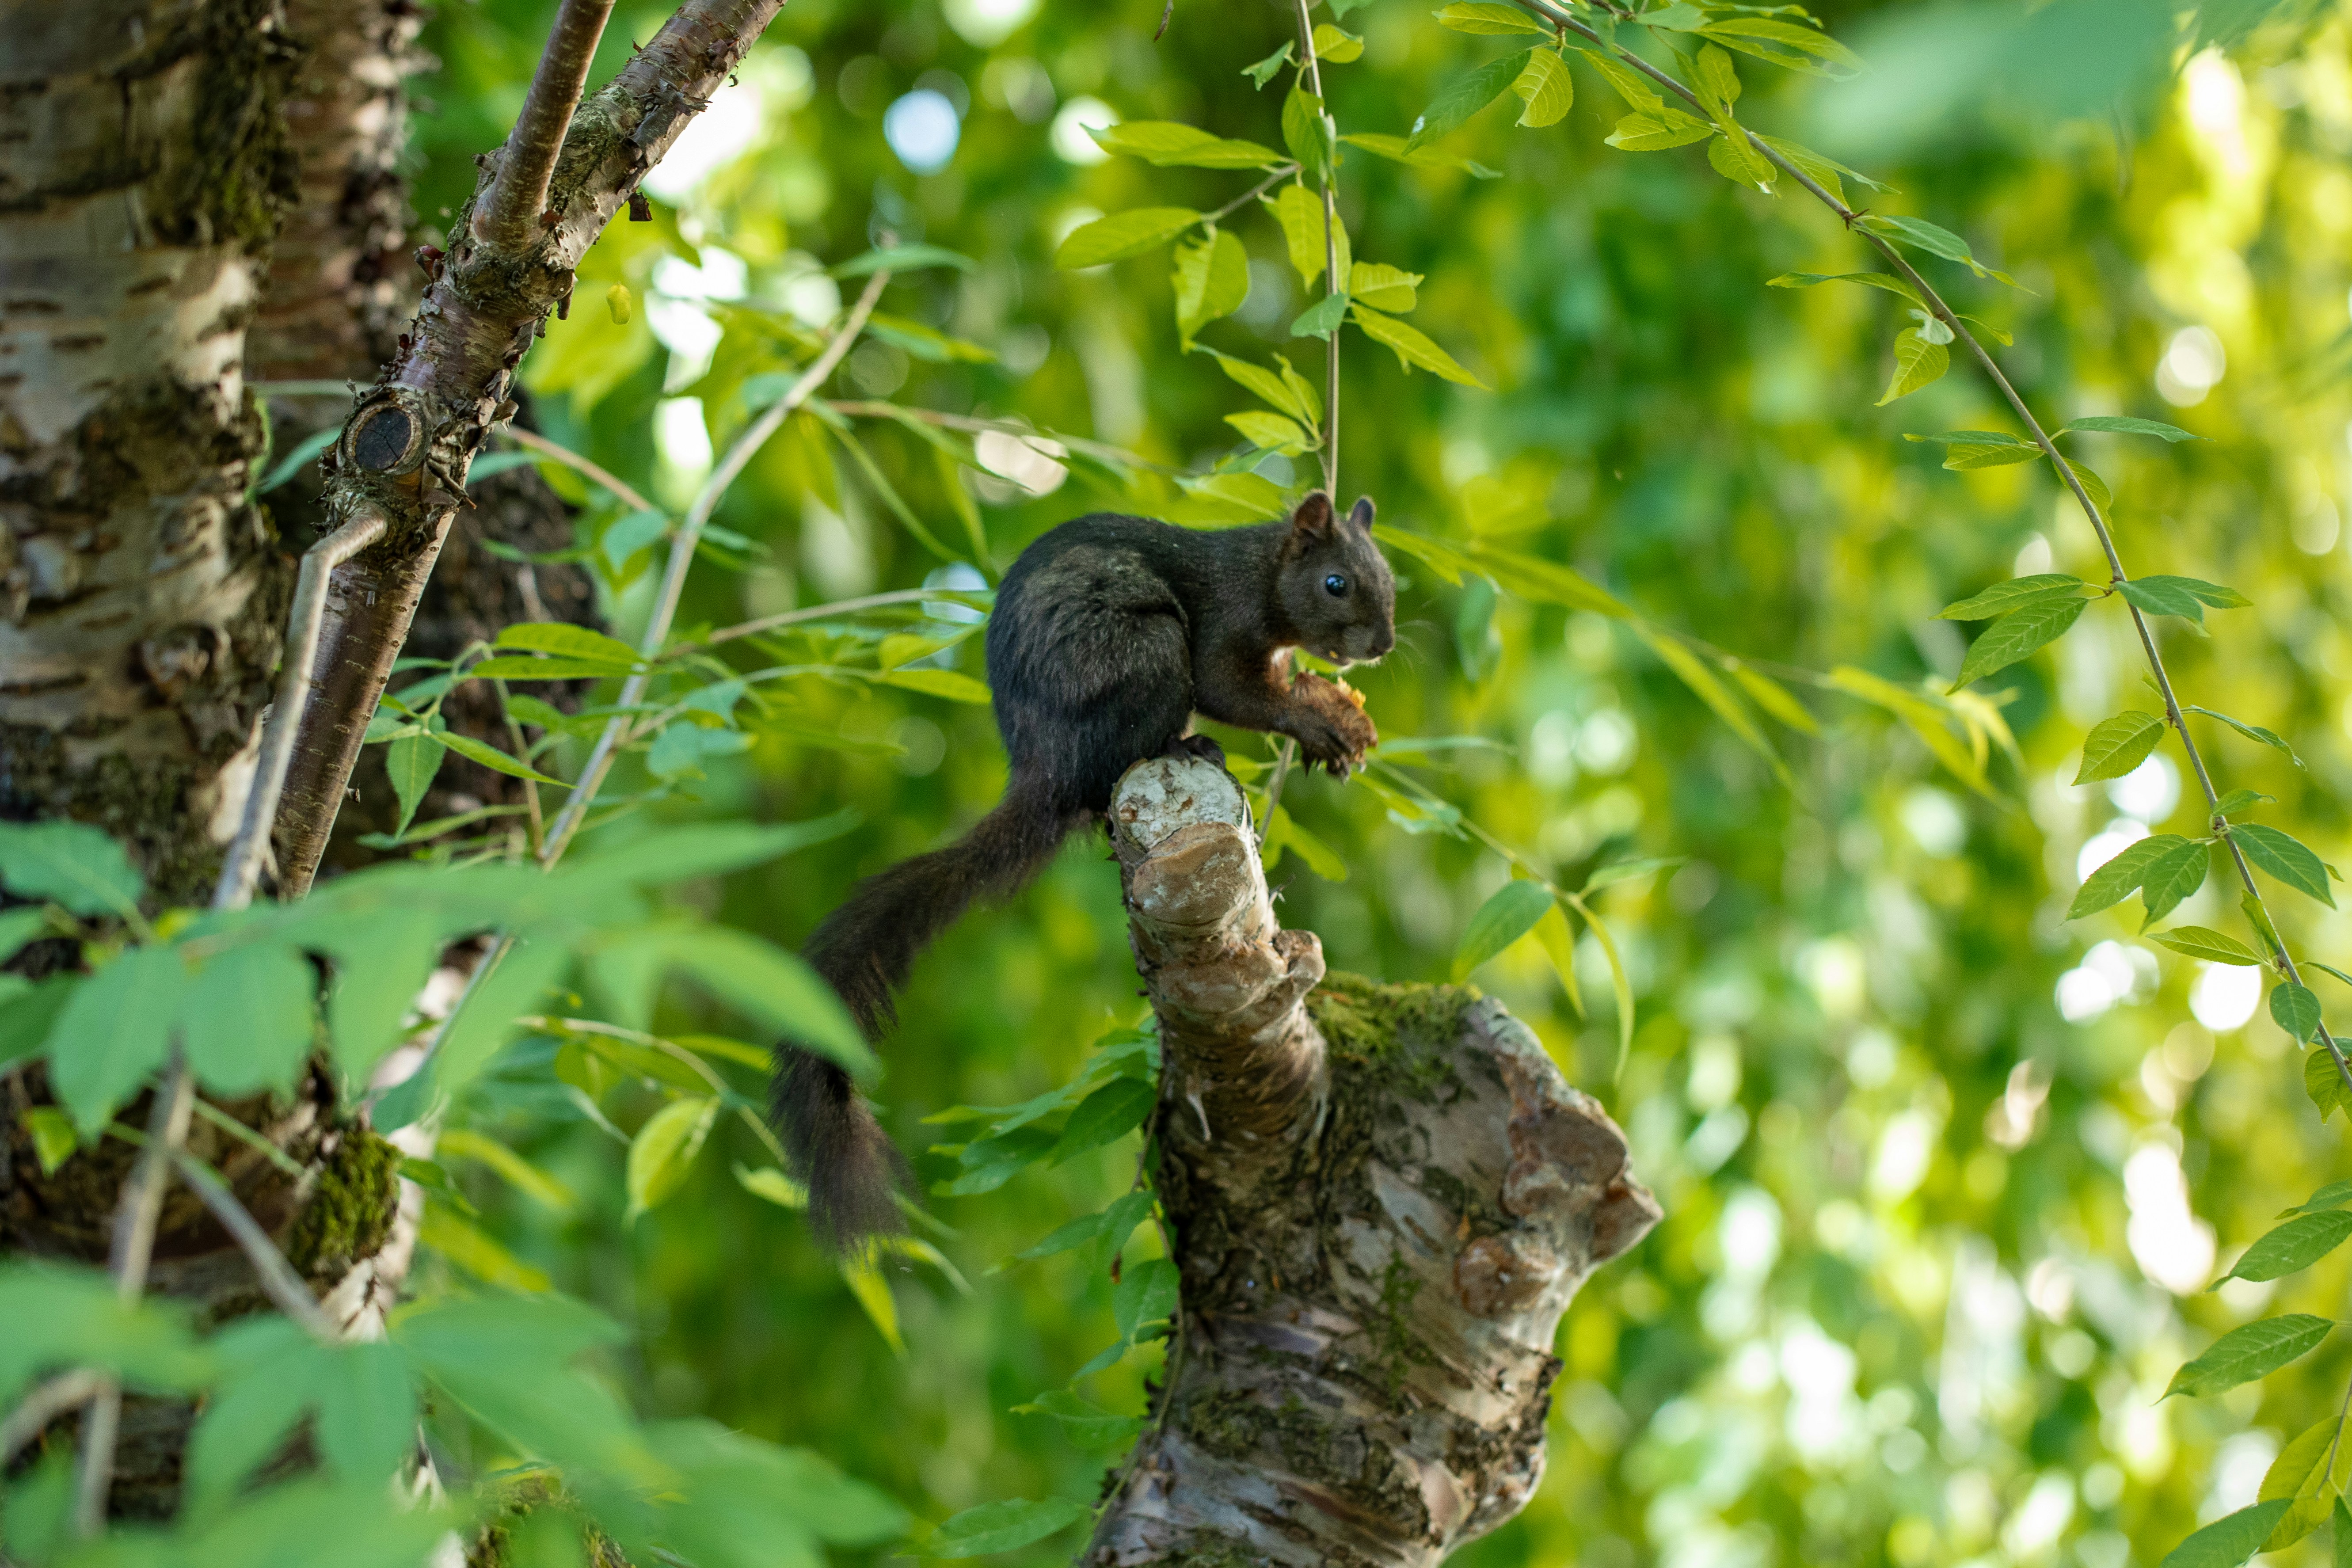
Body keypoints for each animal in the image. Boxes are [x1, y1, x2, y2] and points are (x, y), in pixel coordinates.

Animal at [773, 490, 1396, 1251]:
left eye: (1387, 576)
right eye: (1336, 583)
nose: (1383, 644)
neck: (1260, 574)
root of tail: (1047, 773)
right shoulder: (1228, 620)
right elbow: (1232, 690)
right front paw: (1320, 723)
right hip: (1144, 655)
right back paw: (1187, 746)